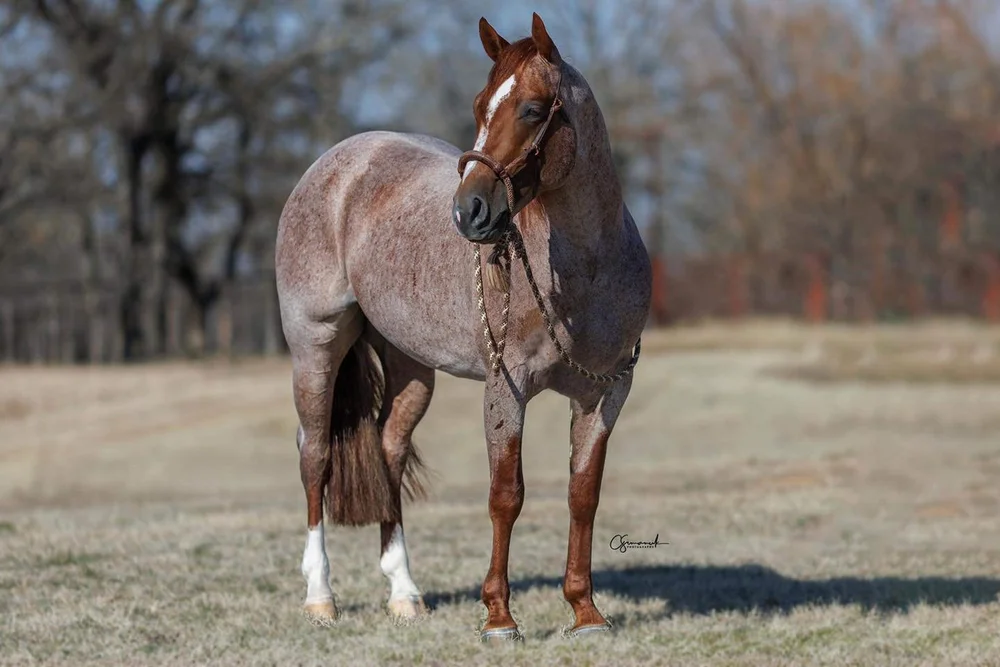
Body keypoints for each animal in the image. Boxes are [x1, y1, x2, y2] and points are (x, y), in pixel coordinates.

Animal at [274, 12, 651, 642]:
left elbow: (583, 493)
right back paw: (320, 596)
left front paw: (585, 612)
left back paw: (405, 593)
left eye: (532, 109)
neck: (587, 270)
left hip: (410, 364)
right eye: (480, 105)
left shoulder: (606, 393)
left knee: (389, 449)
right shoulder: (507, 388)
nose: (469, 211)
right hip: (315, 346)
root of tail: (335, 164)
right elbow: (506, 495)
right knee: (316, 455)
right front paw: (499, 618)